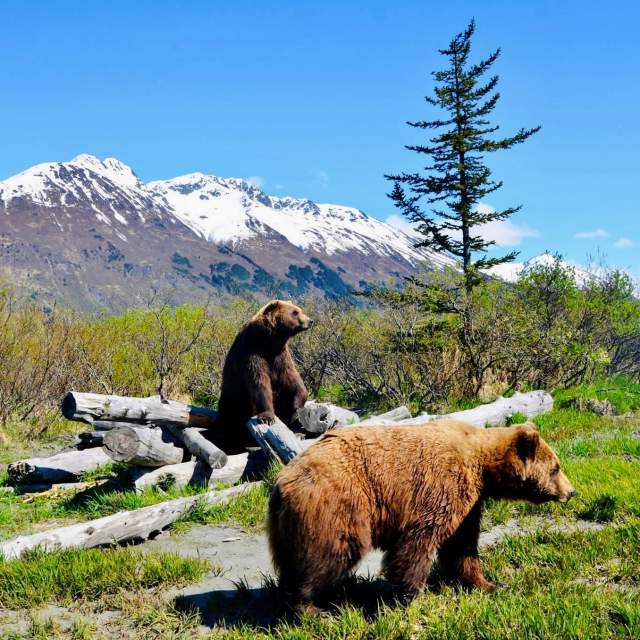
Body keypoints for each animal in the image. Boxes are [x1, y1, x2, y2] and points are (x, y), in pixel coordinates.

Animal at [214, 300, 313, 454]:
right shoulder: (251, 353)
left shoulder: (280, 356)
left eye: (299, 310)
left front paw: (296, 407)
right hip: (233, 402)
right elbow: (259, 383)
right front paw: (267, 416)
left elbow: (292, 379)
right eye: (295, 312)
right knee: (230, 423)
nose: (310, 321)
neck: (269, 340)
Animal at [267, 420, 576, 608]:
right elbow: (420, 541)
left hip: (288, 527)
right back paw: (311, 607)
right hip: (337, 505)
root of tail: (282, 481)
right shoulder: (441, 485)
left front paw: (488, 583)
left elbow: (462, 546)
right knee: (330, 554)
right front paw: (413, 595)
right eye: (556, 468)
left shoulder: (469, 504)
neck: (482, 467)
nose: (571, 492)